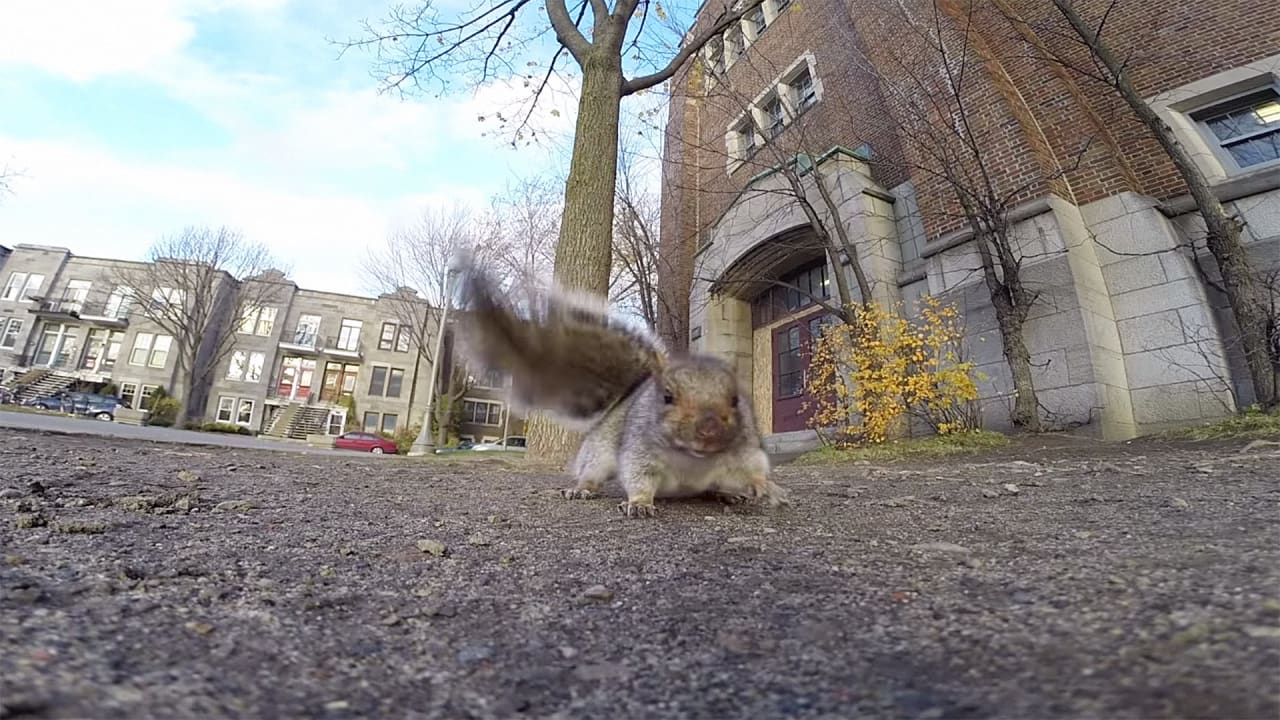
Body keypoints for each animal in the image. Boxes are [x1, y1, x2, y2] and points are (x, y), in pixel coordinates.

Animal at [451, 258, 789, 517]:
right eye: (667, 396)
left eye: (735, 399)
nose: (709, 428)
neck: (692, 458)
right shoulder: (639, 452)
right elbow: (638, 477)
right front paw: (639, 504)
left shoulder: (745, 449)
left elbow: (754, 467)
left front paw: (766, 486)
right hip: (598, 452)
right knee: (591, 471)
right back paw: (582, 489)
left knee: (716, 486)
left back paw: (727, 494)